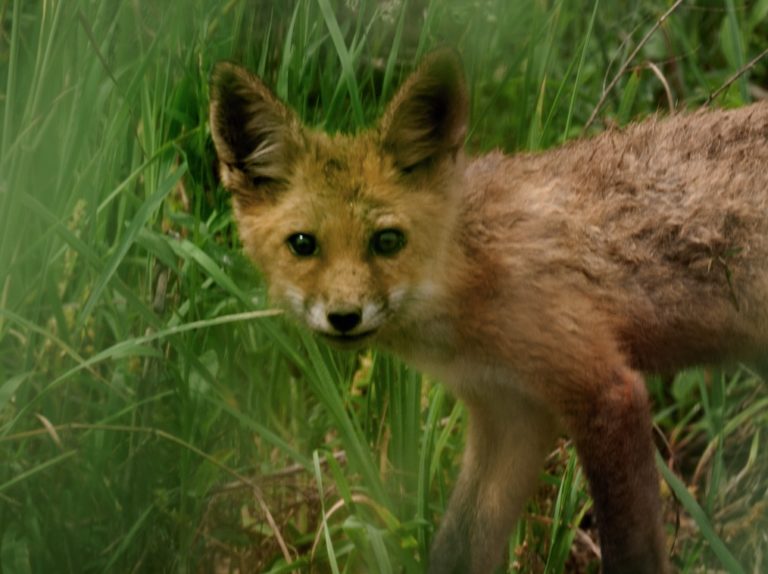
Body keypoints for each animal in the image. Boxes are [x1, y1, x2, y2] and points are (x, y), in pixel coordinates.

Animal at [209, 49, 768, 574]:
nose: (344, 317)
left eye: (387, 241)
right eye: (303, 244)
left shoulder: (606, 390)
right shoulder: (511, 413)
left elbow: (634, 554)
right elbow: (456, 547)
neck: (475, 270)